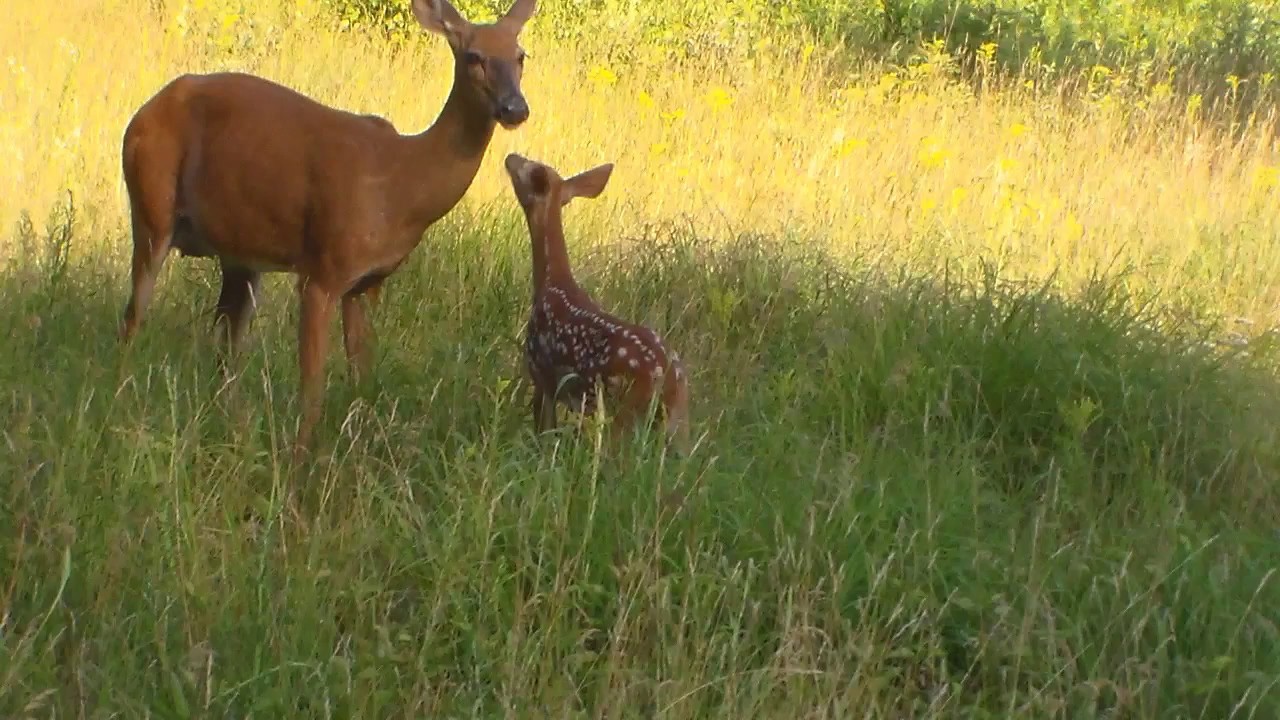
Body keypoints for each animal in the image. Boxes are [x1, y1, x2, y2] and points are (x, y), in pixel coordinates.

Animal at [118, 0, 537, 462]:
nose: (515, 109)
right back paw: (122, 401)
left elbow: (361, 376)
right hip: (151, 207)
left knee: (225, 346)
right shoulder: (323, 268)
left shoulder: (365, 285)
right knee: (132, 319)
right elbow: (313, 387)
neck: (402, 183)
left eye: (521, 56)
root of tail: (142, 113)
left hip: (239, 255)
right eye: (474, 57)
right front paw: (301, 459)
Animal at [502, 153, 691, 453]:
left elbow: (544, 432)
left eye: (533, 170)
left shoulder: (541, 373)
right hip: (679, 420)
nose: (510, 157)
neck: (551, 283)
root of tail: (669, 378)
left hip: (624, 412)